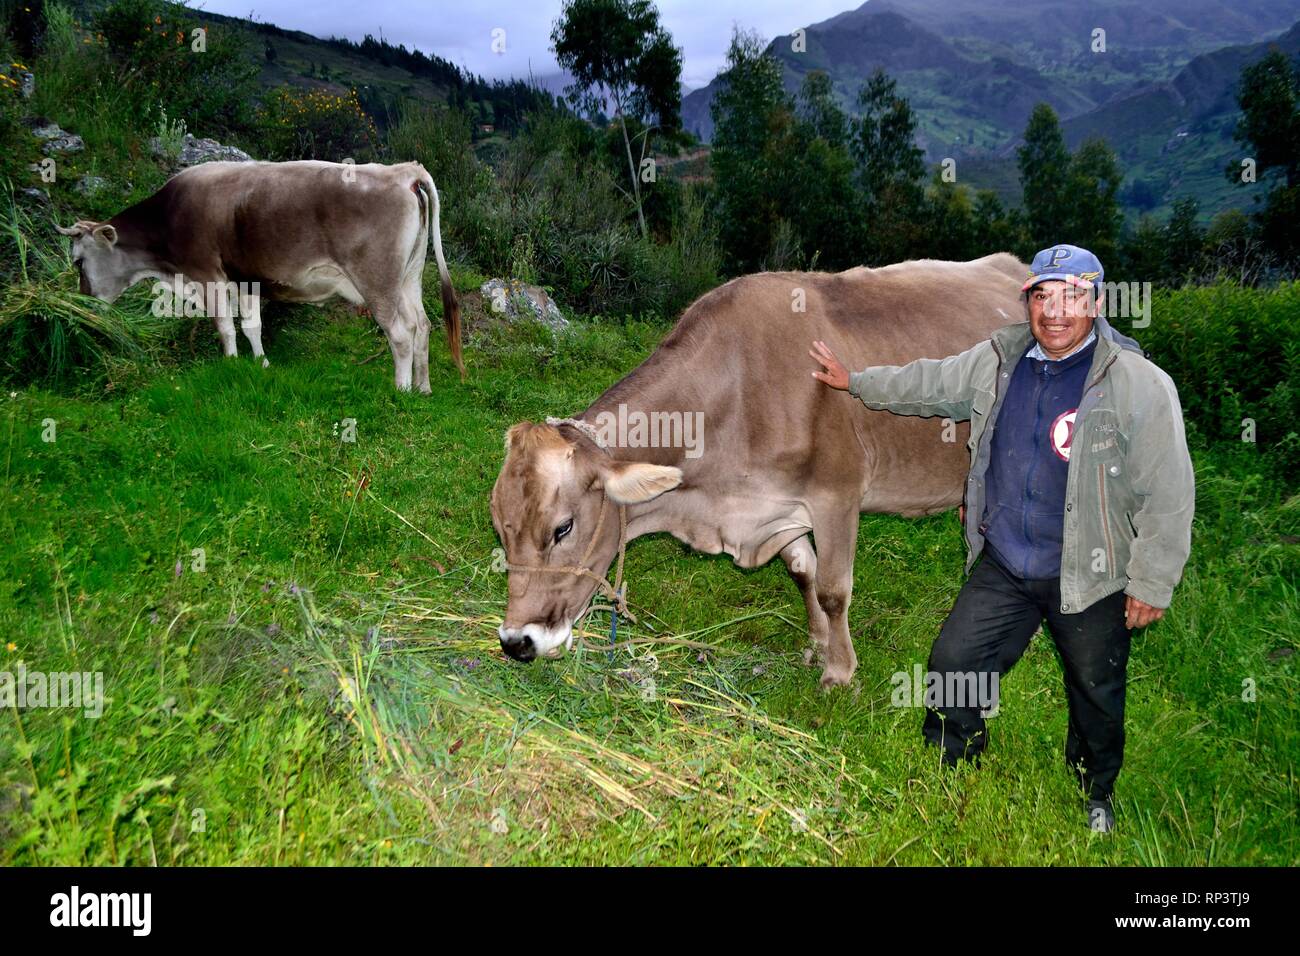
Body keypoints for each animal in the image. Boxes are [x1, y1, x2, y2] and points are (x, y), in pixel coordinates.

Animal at [57, 159, 463, 391]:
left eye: (78, 261)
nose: (83, 302)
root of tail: (403, 170)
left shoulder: (207, 275)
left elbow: (224, 327)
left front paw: (231, 364)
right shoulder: (246, 279)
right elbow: (251, 325)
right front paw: (261, 364)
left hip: (377, 280)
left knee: (400, 333)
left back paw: (401, 389)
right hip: (409, 276)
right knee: (422, 324)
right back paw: (424, 387)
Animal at [489, 253, 1028, 688]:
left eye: (563, 528)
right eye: (501, 529)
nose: (516, 641)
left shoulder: (837, 494)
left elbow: (834, 590)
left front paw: (840, 672)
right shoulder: (775, 506)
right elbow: (804, 571)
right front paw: (817, 646)